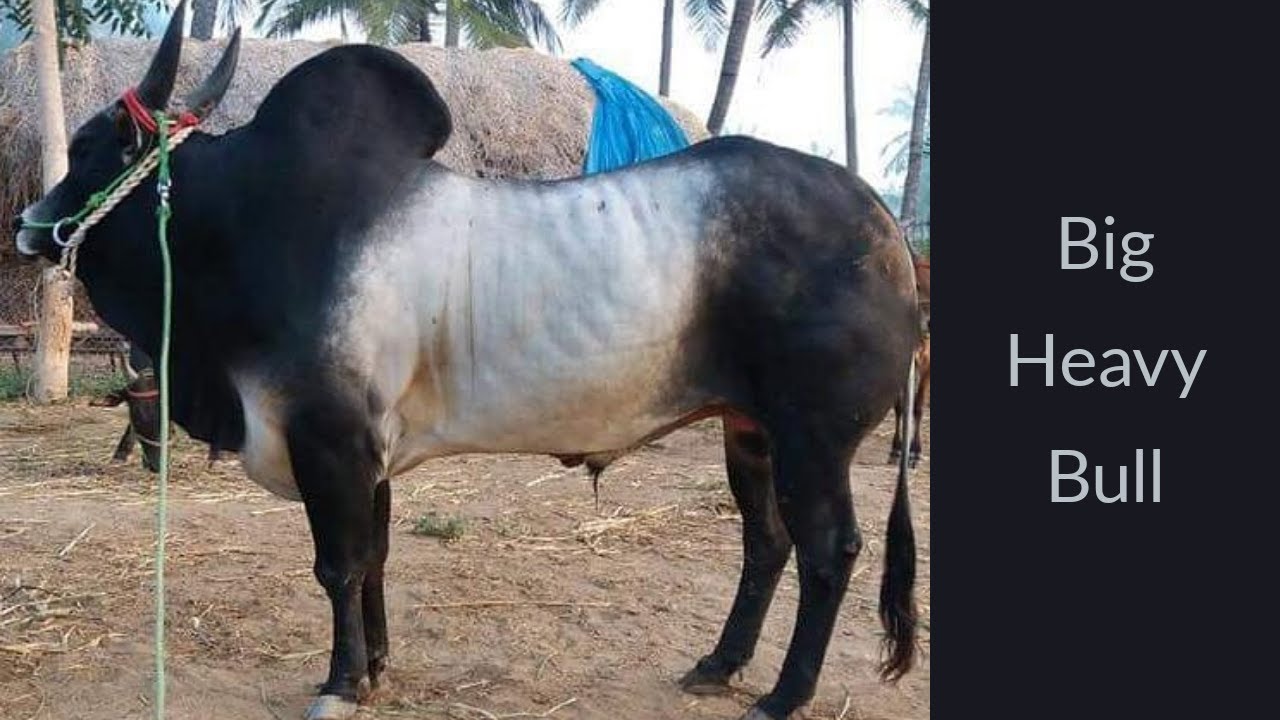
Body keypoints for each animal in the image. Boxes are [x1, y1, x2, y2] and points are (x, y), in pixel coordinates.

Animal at [13, 5, 922, 719]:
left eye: (89, 146)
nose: (27, 225)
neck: (238, 223)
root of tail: (880, 218)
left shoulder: (328, 439)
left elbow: (338, 565)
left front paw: (340, 682)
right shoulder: (366, 450)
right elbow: (373, 560)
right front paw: (377, 667)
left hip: (813, 437)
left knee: (829, 551)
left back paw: (783, 695)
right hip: (751, 430)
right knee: (766, 543)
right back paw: (718, 665)